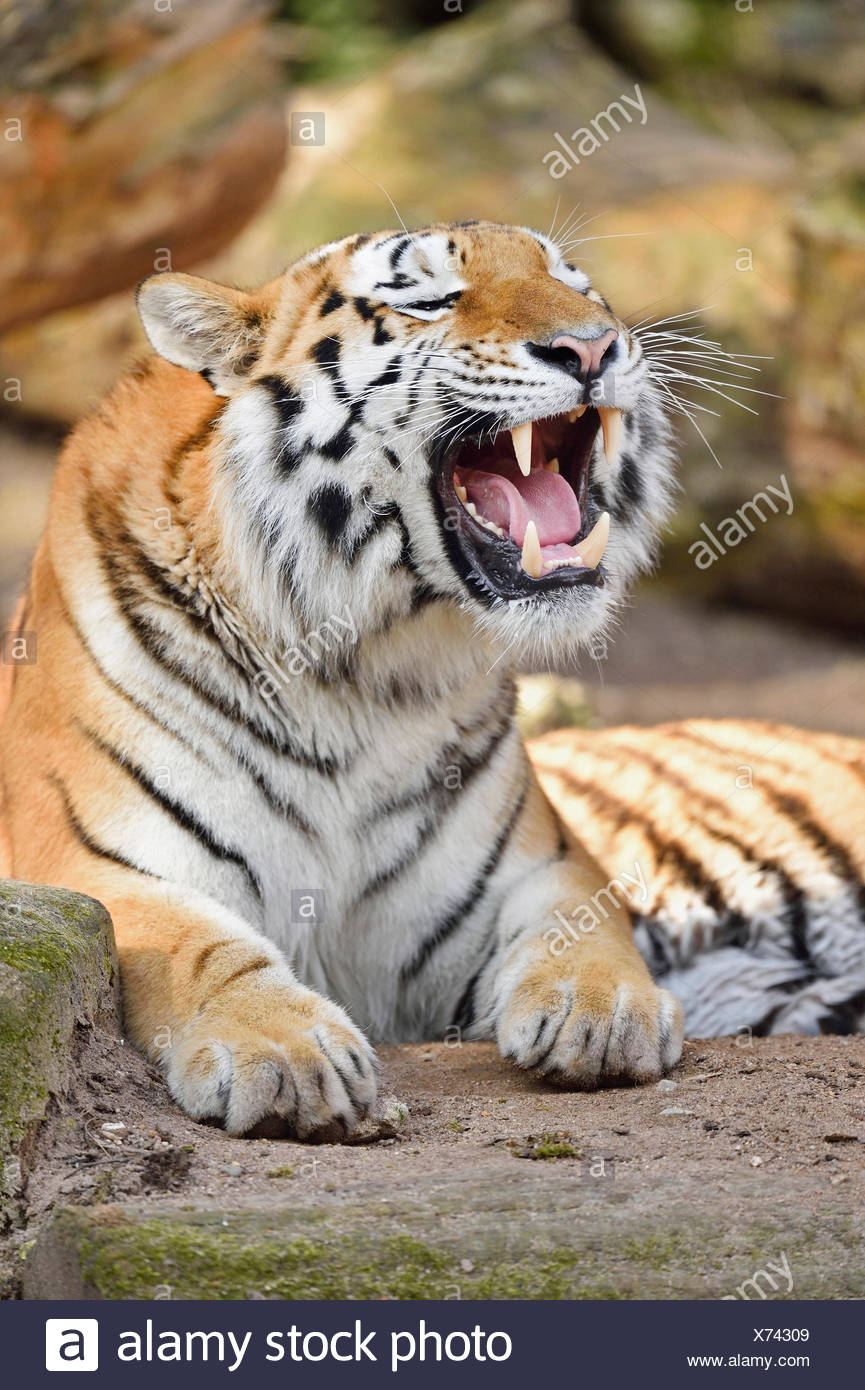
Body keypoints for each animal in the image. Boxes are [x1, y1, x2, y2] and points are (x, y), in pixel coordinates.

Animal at [1, 220, 863, 1142]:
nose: (591, 346)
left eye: (575, 285)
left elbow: (584, 926)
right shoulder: (98, 868)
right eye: (428, 299)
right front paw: (285, 1052)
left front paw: (600, 1010)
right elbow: (197, 946)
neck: (357, 673)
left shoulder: (541, 865)